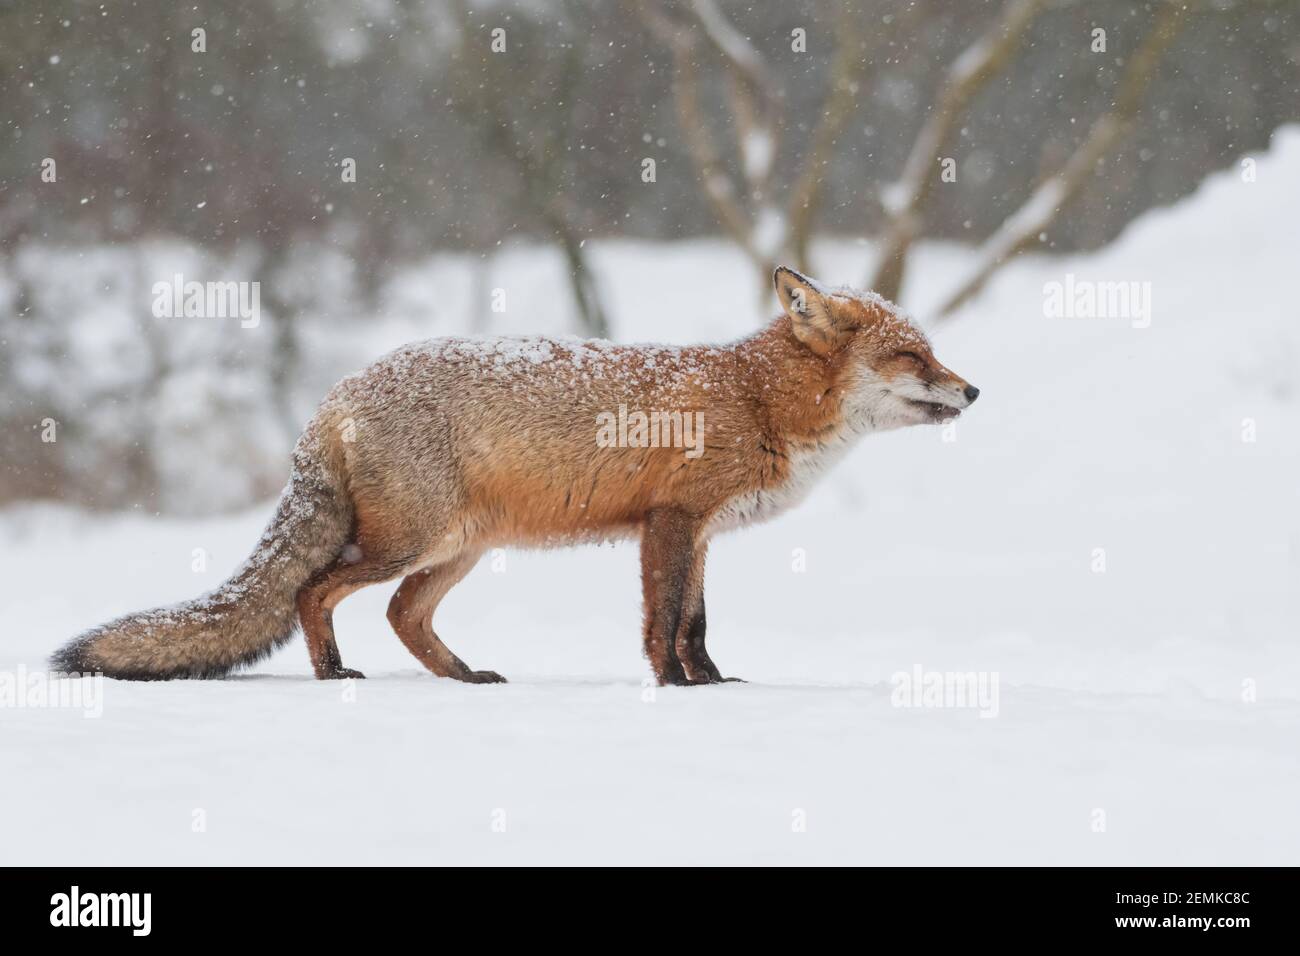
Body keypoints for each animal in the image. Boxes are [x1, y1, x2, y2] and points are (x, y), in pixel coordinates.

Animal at [51, 267, 979, 686]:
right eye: (914, 355)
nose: (973, 390)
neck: (755, 398)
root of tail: (338, 393)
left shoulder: (704, 531)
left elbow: (697, 622)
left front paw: (715, 687)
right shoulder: (672, 522)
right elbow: (663, 625)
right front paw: (674, 691)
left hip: (454, 552)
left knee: (401, 615)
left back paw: (462, 678)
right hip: (412, 541)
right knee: (314, 591)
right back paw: (331, 674)